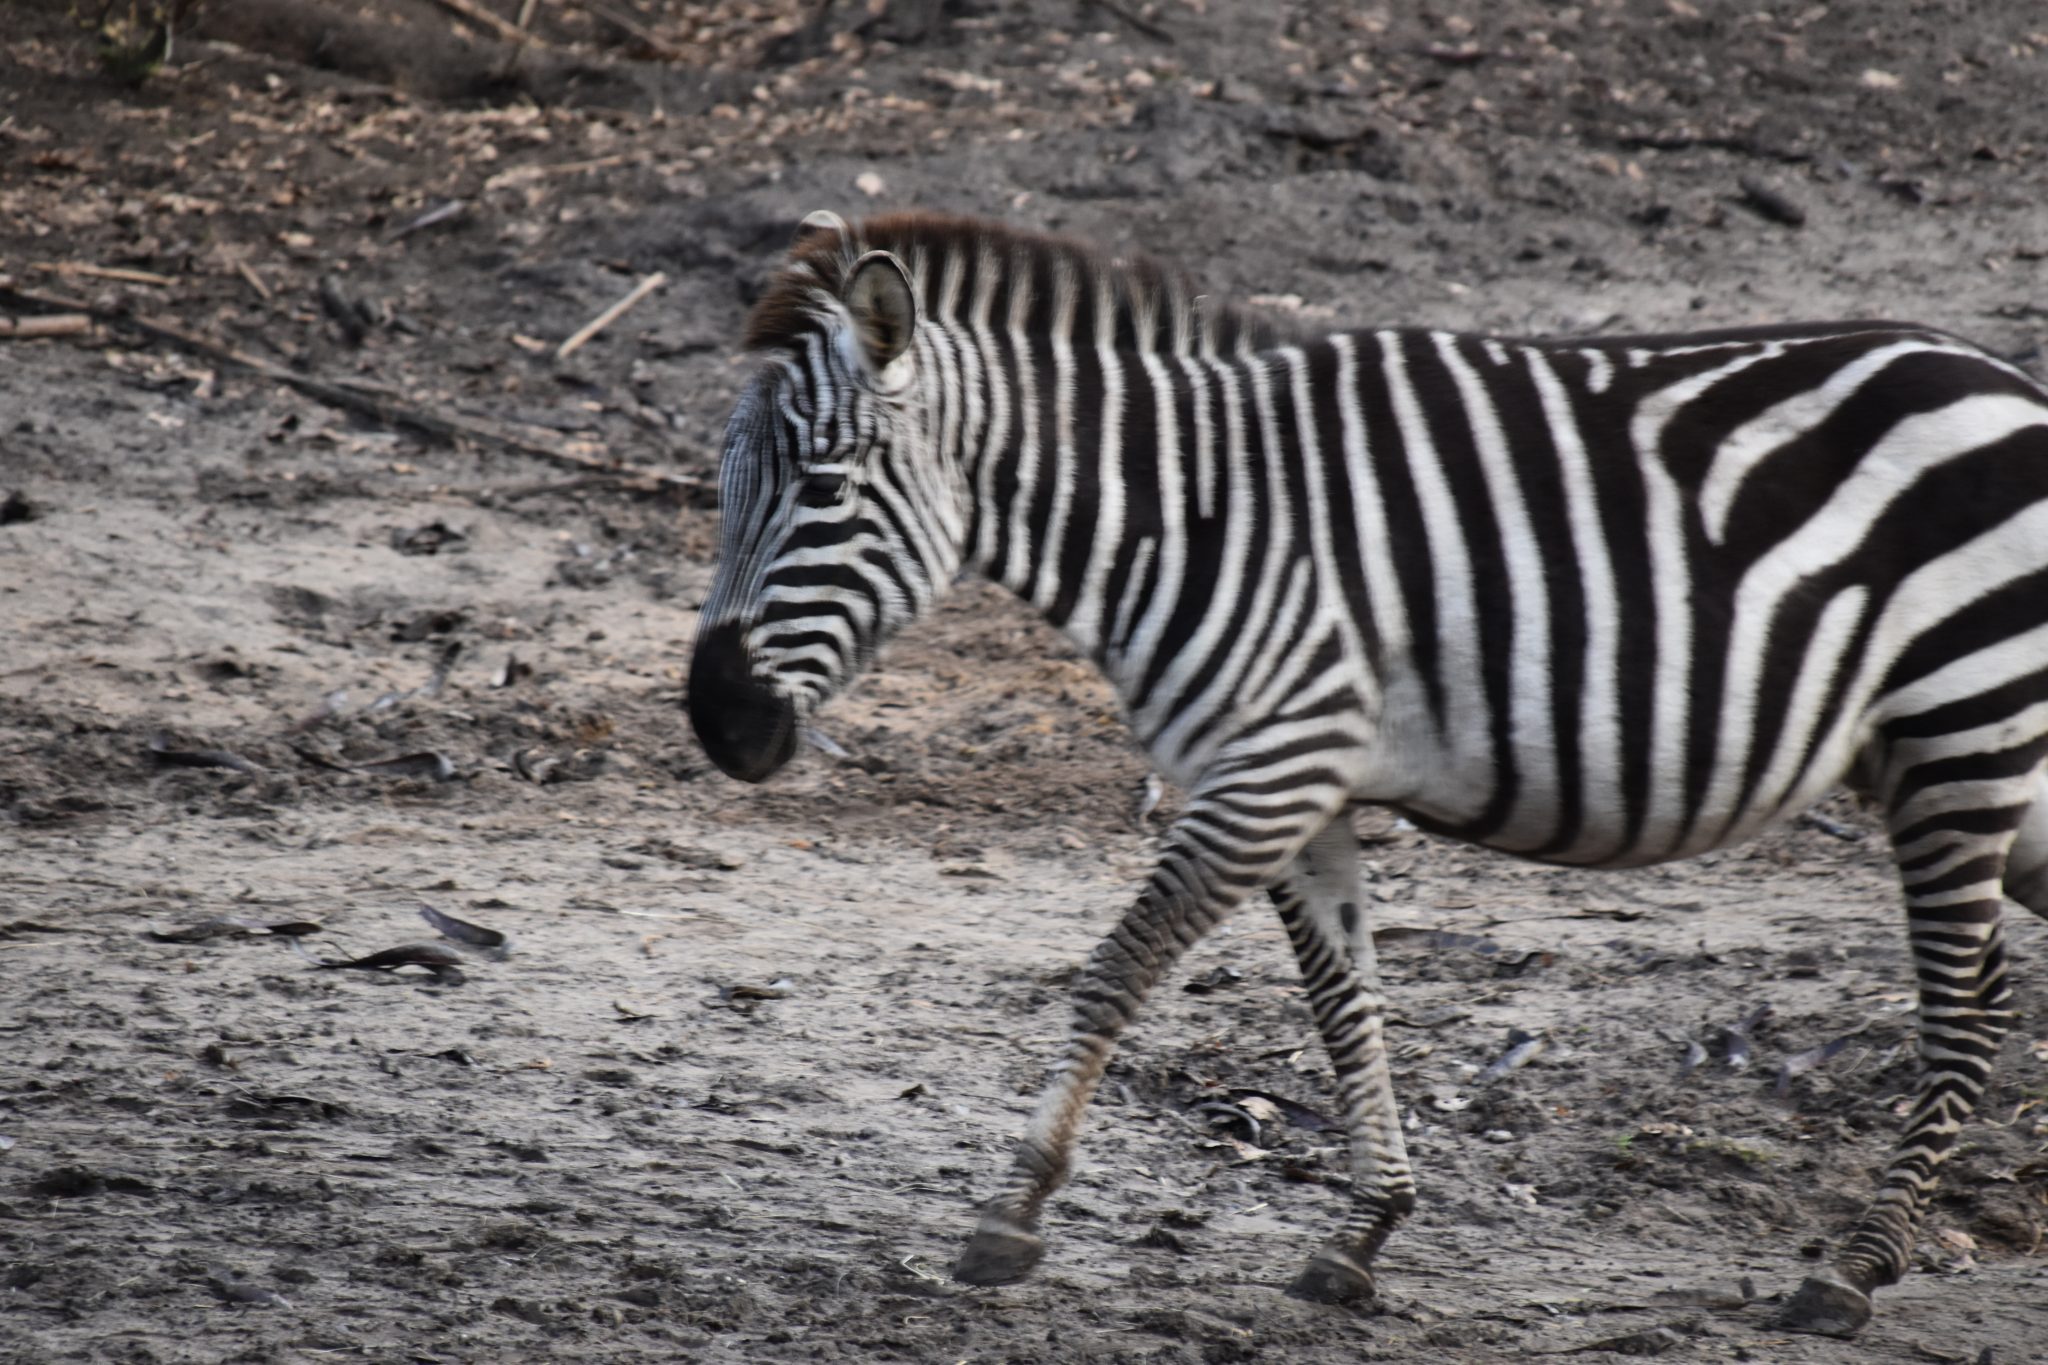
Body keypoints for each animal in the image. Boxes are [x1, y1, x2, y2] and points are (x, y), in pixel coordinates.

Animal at [686, 209, 2048, 1335]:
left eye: (821, 488)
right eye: (722, 486)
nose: (718, 727)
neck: (1185, 517)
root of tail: (2002, 377)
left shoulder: (1270, 770)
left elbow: (1116, 968)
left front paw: (1011, 1213)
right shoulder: (1299, 787)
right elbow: (1344, 1005)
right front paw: (1360, 1235)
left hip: (1957, 727)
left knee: (1964, 1004)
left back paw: (1850, 1271)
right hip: (1982, 758)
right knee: (1985, 988)